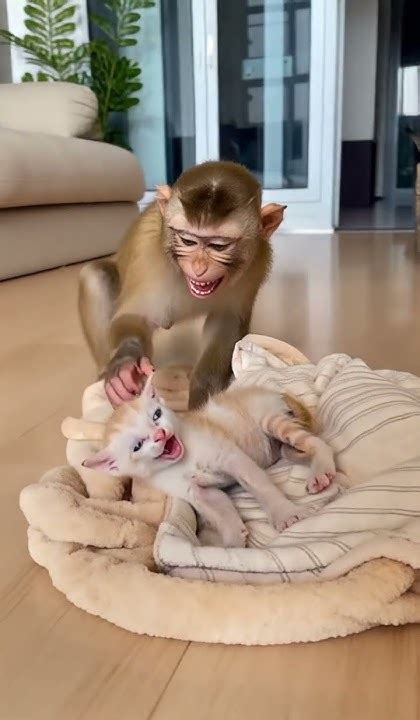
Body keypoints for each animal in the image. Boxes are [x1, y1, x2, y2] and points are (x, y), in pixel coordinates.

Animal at [79, 160, 286, 410]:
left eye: (219, 246)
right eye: (188, 241)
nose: (199, 267)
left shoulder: (256, 264)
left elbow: (226, 321)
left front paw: (203, 395)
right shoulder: (147, 253)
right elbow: (134, 316)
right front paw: (125, 365)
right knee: (95, 275)